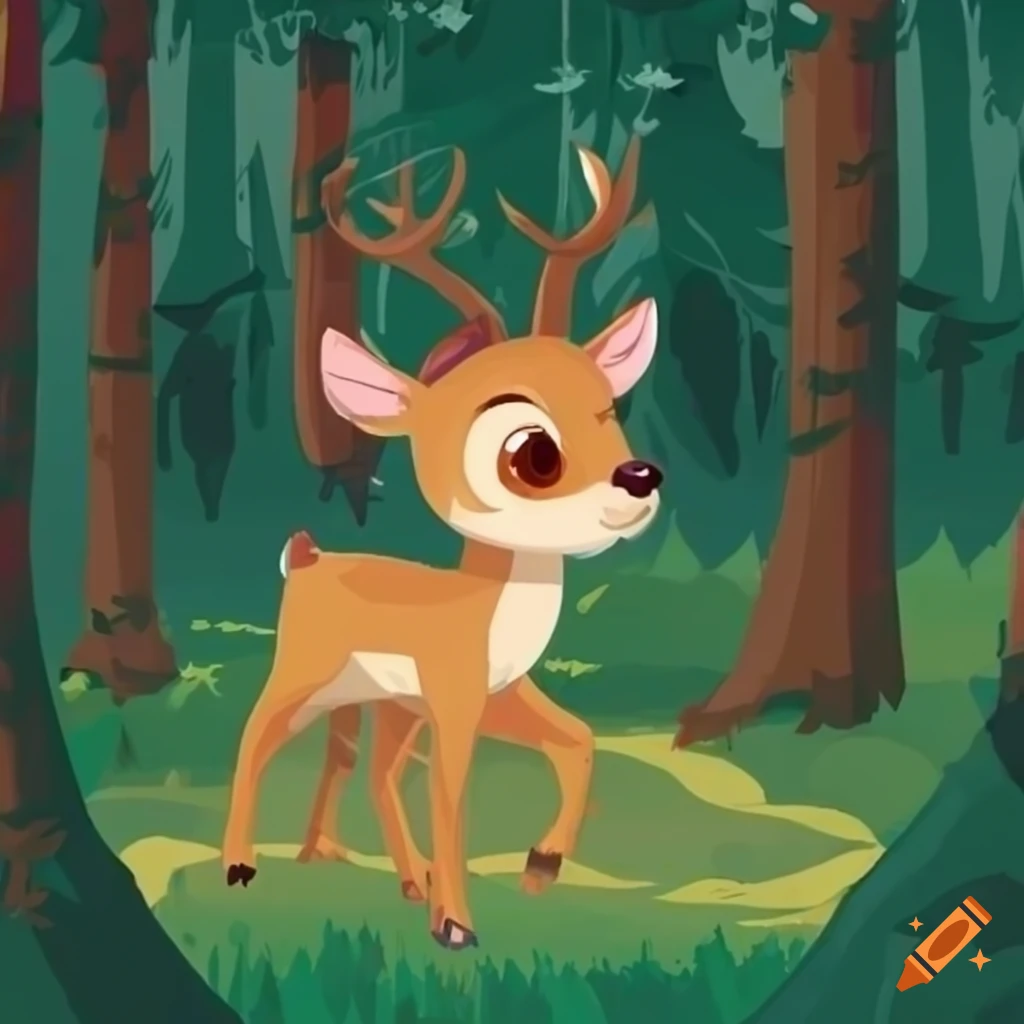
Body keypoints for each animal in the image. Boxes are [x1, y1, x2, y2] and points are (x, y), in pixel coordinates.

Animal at [221, 136, 662, 951]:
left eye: (610, 410)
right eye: (533, 451)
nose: (641, 476)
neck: (484, 609)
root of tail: (306, 557)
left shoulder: (501, 692)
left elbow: (579, 739)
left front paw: (540, 866)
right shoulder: (456, 698)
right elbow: (453, 798)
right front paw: (457, 924)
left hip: (384, 705)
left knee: (375, 774)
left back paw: (406, 879)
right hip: (306, 673)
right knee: (256, 735)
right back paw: (241, 867)